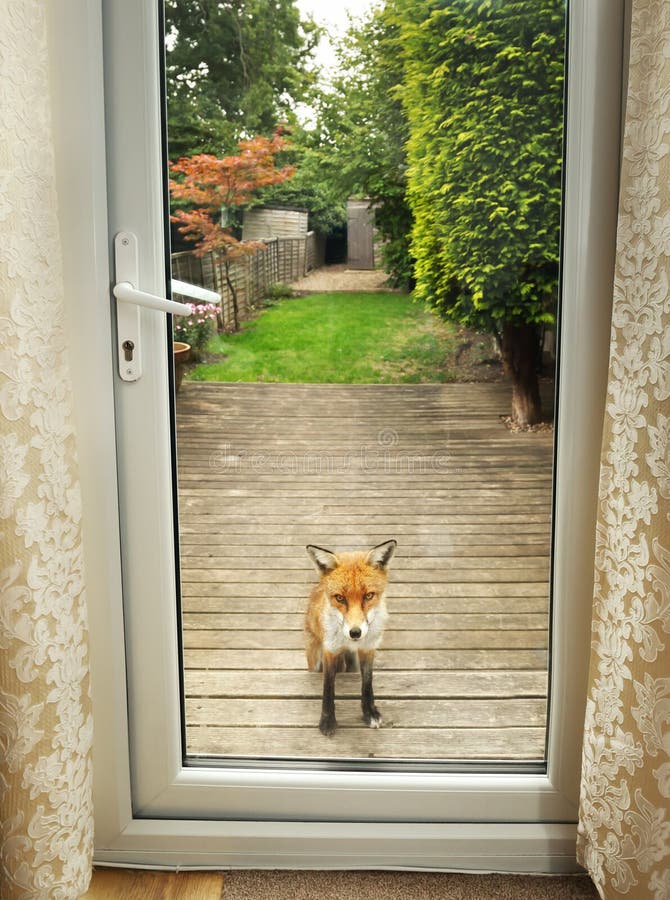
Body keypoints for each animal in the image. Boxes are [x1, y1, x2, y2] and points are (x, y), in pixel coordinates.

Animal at [304, 539, 397, 736]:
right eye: (339, 598)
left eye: (369, 595)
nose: (355, 632)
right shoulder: (330, 649)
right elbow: (328, 687)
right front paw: (327, 721)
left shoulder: (368, 648)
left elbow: (367, 684)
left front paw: (370, 713)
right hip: (314, 659)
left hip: (352, 664)